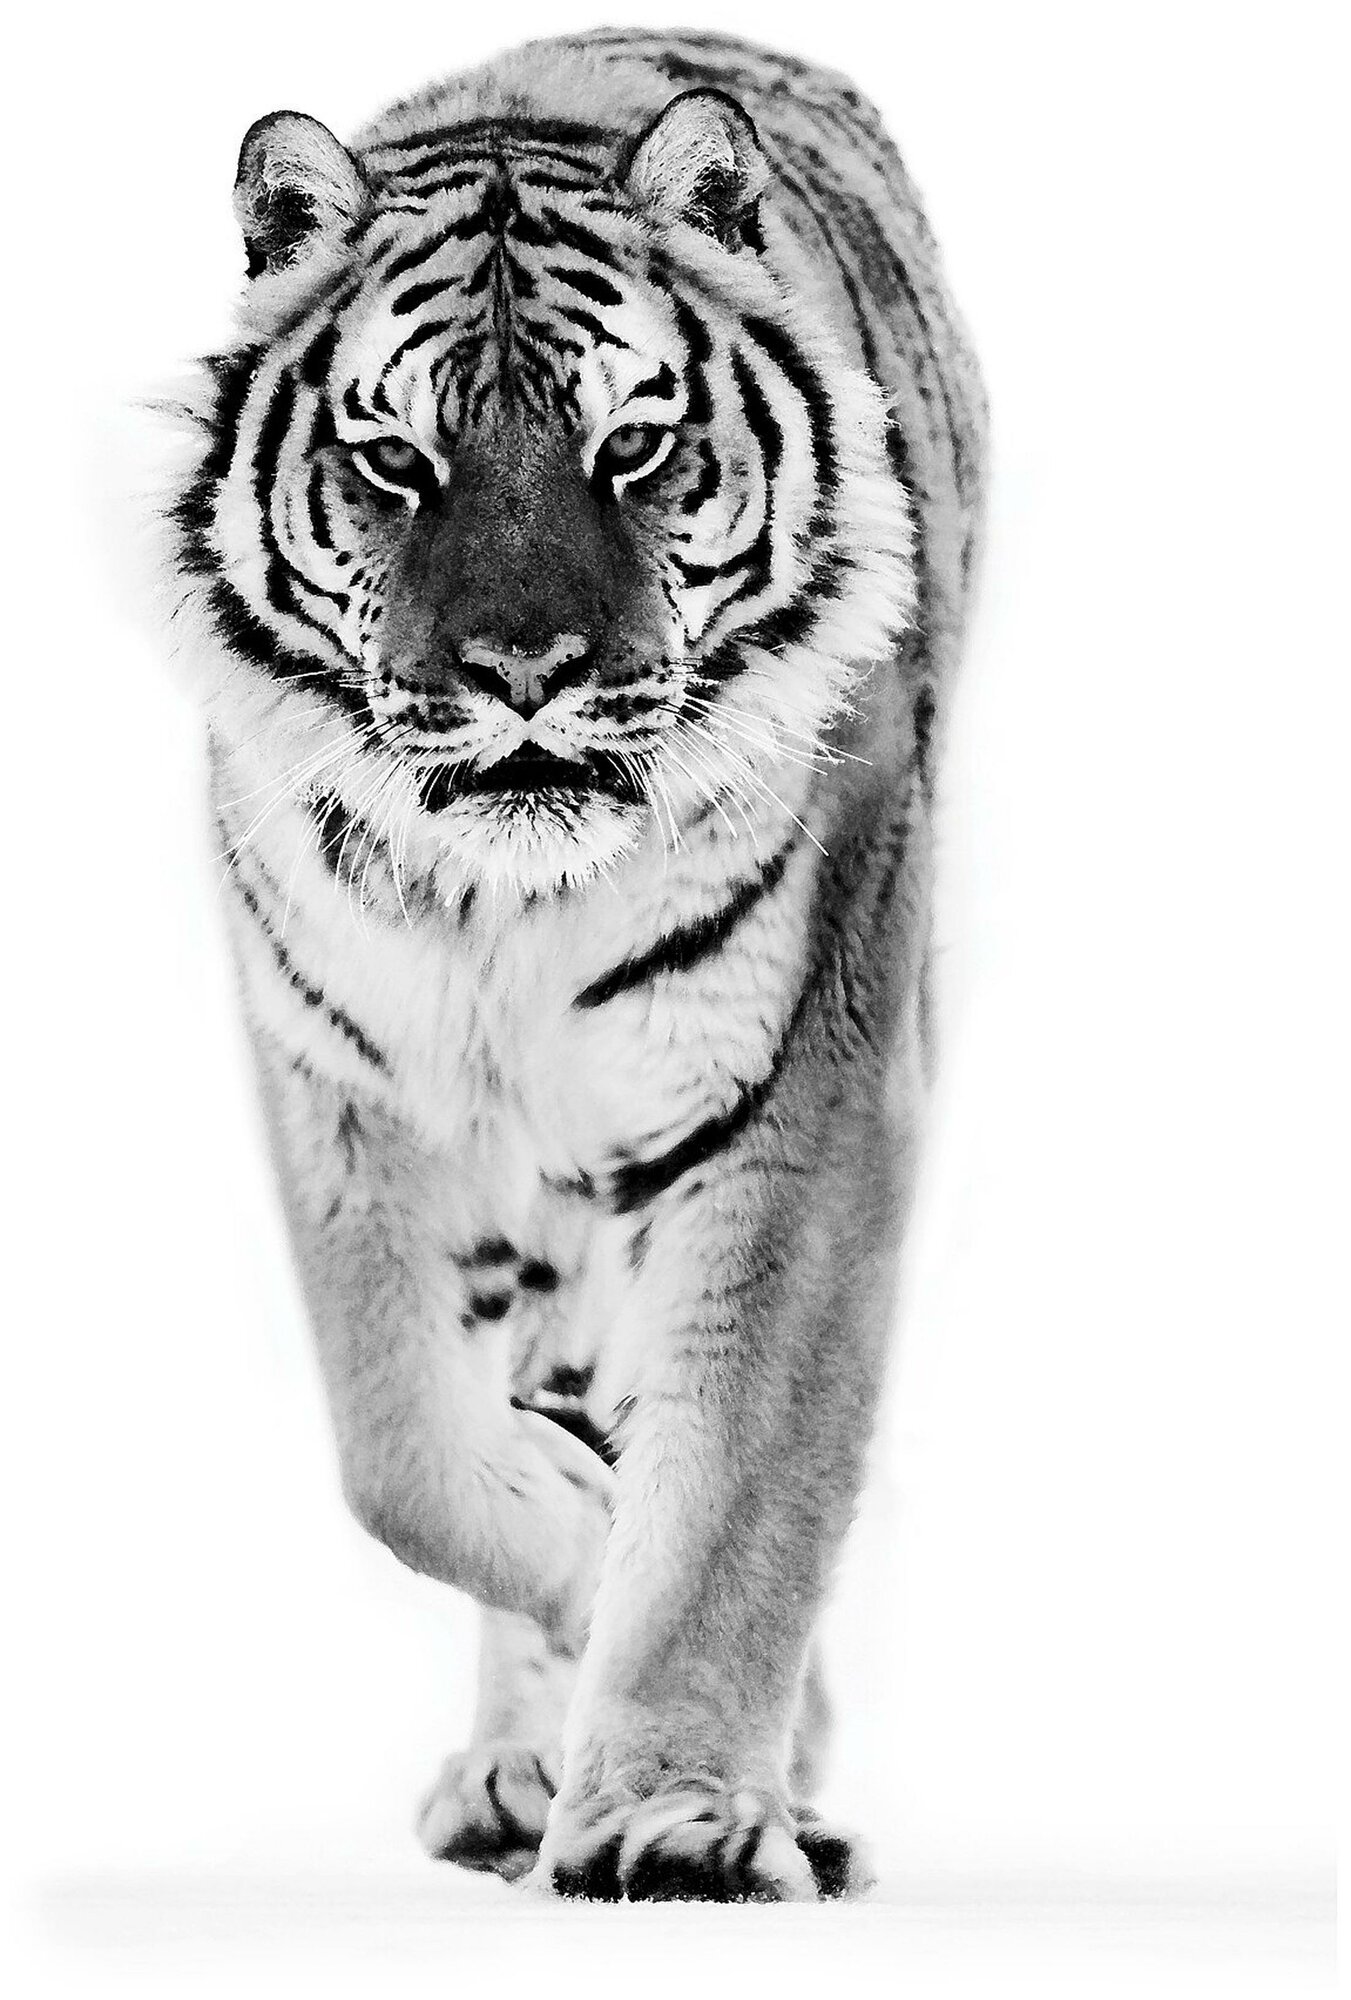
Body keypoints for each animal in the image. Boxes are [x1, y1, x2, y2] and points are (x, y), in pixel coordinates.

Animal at [158, 26, 986, 1901]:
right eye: (397, 462)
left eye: (635, 446)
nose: (523, 664)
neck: (504, 908)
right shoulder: (345, 1086)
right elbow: (399, 1450)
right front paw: (594, 1553)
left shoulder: (799, 1086)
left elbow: (742, 1467)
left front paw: (679, 1810)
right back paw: (516, 1762)